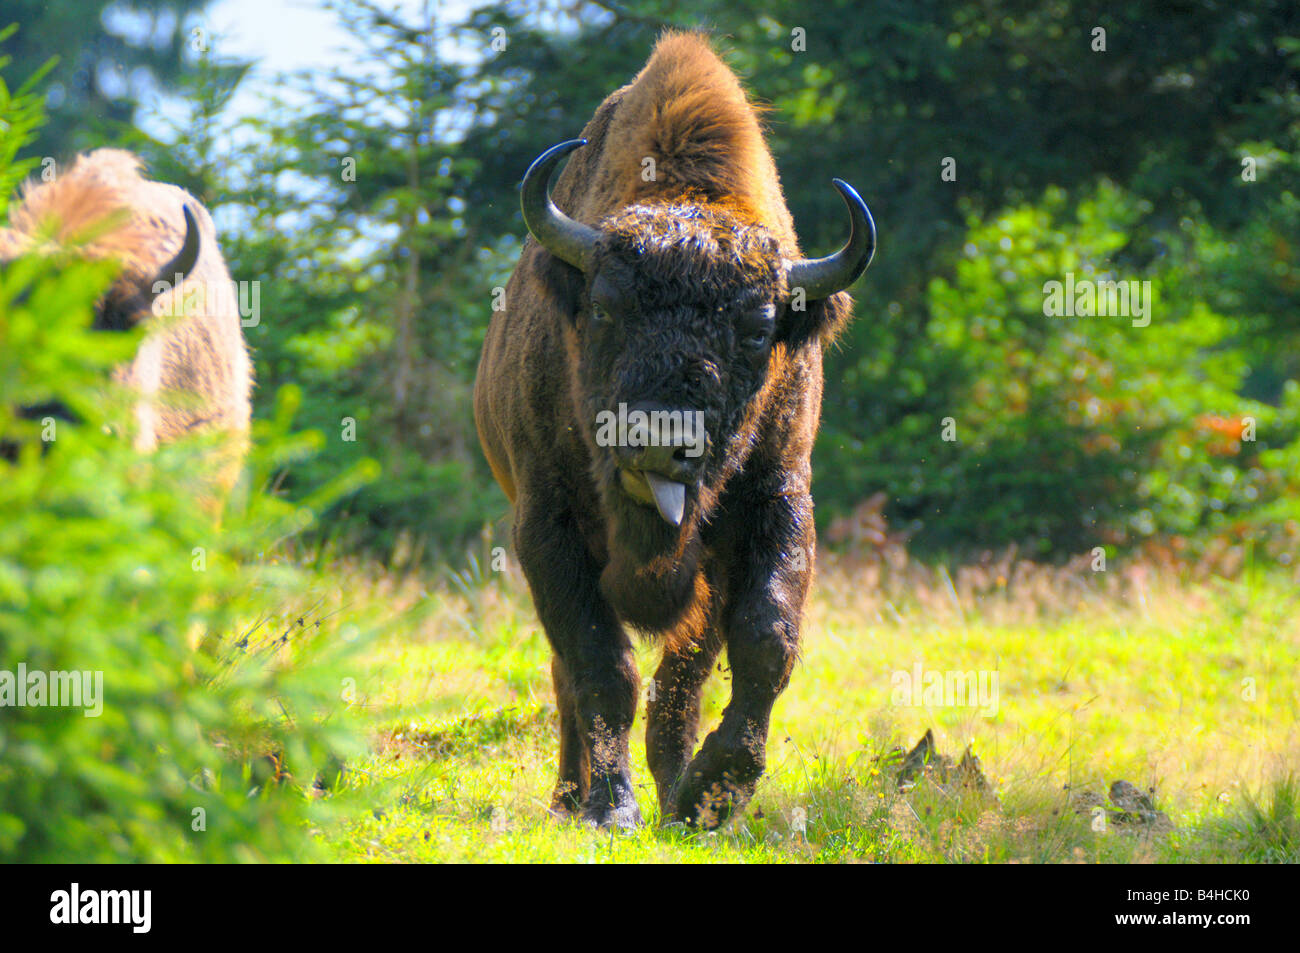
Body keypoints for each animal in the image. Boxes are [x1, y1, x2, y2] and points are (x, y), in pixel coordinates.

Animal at [474, 32, 875, 829]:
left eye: (758, 328)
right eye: (604, 307)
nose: (659, 437)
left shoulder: (775, 502)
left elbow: (759, 642)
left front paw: (708, 796)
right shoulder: (545, 524)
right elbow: (602, 665)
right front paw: (612, 807)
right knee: (568, 673)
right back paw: (571, 795)